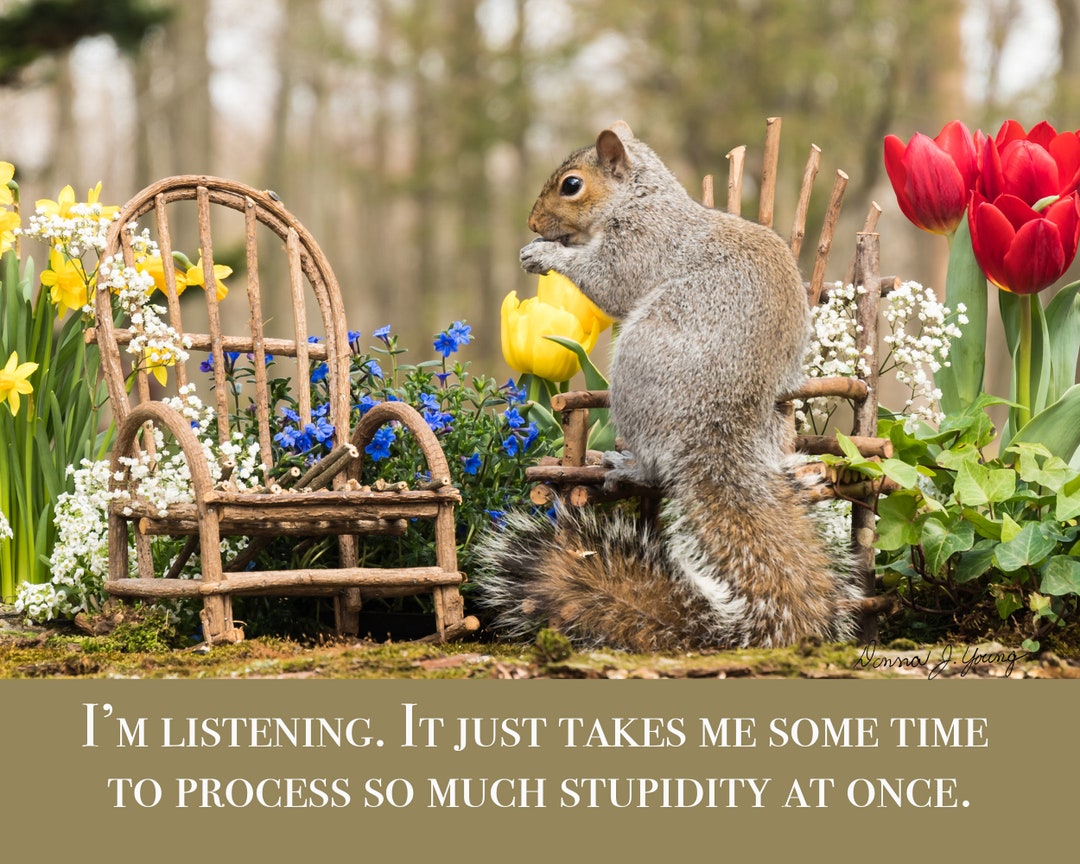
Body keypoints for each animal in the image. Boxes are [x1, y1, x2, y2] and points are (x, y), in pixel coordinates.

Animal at [476, 121, 861, 652]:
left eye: (571, 185)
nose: (533, 222)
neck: (640, 198)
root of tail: (715, 418)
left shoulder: (640, 246)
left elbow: (607, 282)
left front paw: (544, 254)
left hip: (636, 368)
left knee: (655, 466)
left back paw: (625, 464)